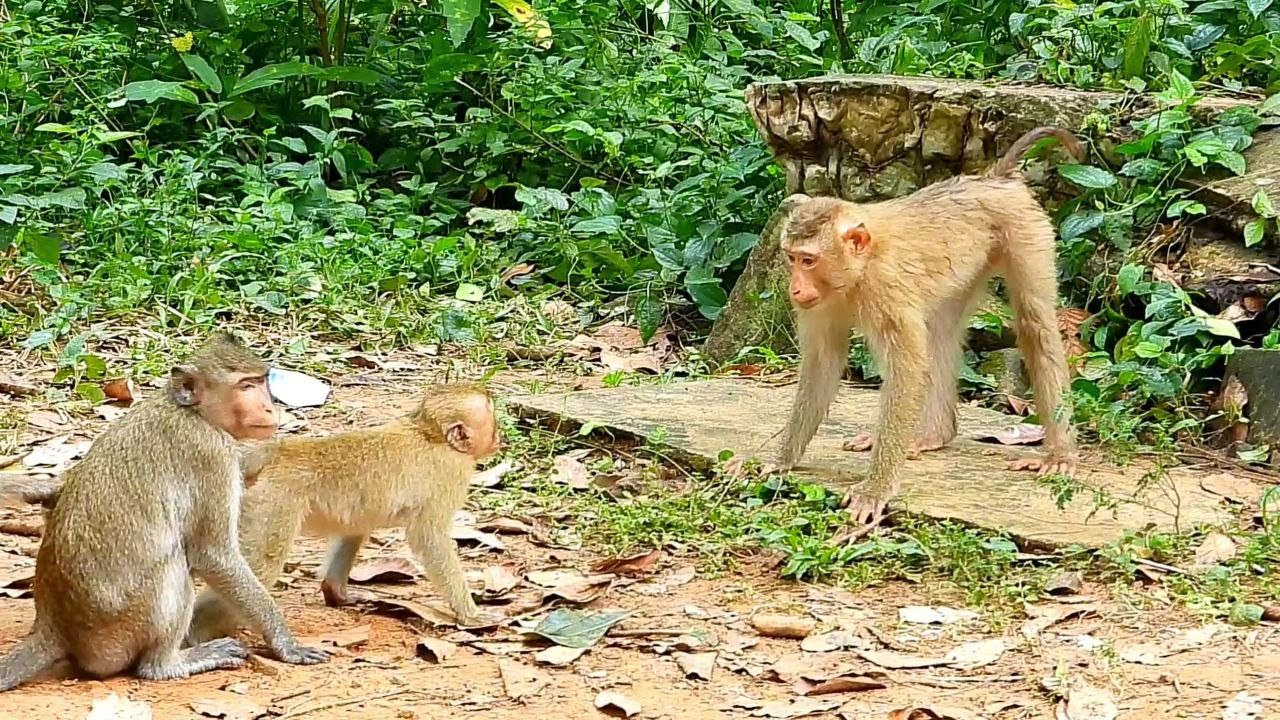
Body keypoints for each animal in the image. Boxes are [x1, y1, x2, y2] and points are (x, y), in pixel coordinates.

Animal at [0, 334, 328, 692]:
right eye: (245, 386)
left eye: (261, 382)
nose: (270, 407)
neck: (194, 413)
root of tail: (54, 627)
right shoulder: (213, 455)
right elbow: (213, 554)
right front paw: (285, 642)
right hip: (117, 634)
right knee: (174, 565)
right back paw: (167, 664)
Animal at [185, 383, 505, 645]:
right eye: (493, 422)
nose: (500, 437)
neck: (430, 433)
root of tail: (279, 449)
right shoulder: (452, 474)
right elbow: (429, 537)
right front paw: (470, 614)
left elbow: (356, 527)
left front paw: (335, 592)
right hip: (275, 501)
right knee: (260, 562)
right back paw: (199, 633)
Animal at [760, 127, 1081, 532]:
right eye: (791, 258)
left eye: (808, 260)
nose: (795, 289)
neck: (858, 271)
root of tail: (993, 178)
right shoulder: (823, 305)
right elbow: (823, 363)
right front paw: (780, 459)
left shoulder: (886, 291)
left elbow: (907, 370)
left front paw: (875, 489)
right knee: (941, 332)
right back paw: (932, 435)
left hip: (1025, 231)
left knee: (1034, 324)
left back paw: (1060, 454)